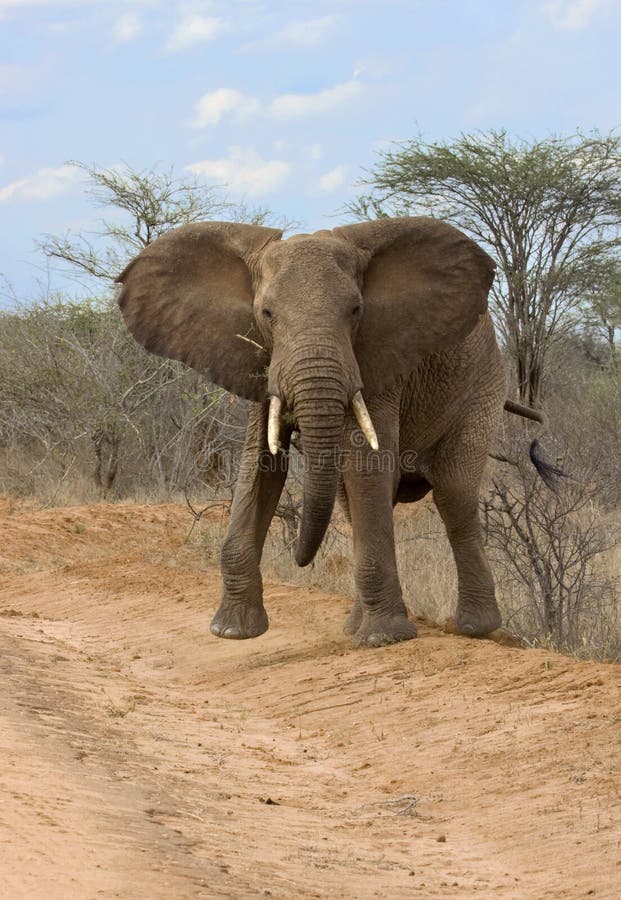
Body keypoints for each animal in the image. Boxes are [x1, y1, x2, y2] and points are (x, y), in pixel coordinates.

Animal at [116, 216, 546, 647]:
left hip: (483, 384)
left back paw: (473, 628)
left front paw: (386, 639)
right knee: (355, 500)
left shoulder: (377, 357)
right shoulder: (260, 362)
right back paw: (354, 627)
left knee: (453, 492)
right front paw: (232, 631)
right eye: (266, 313)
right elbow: (260, 465)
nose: (299, 559)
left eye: (356, 310)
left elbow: (364, 465)